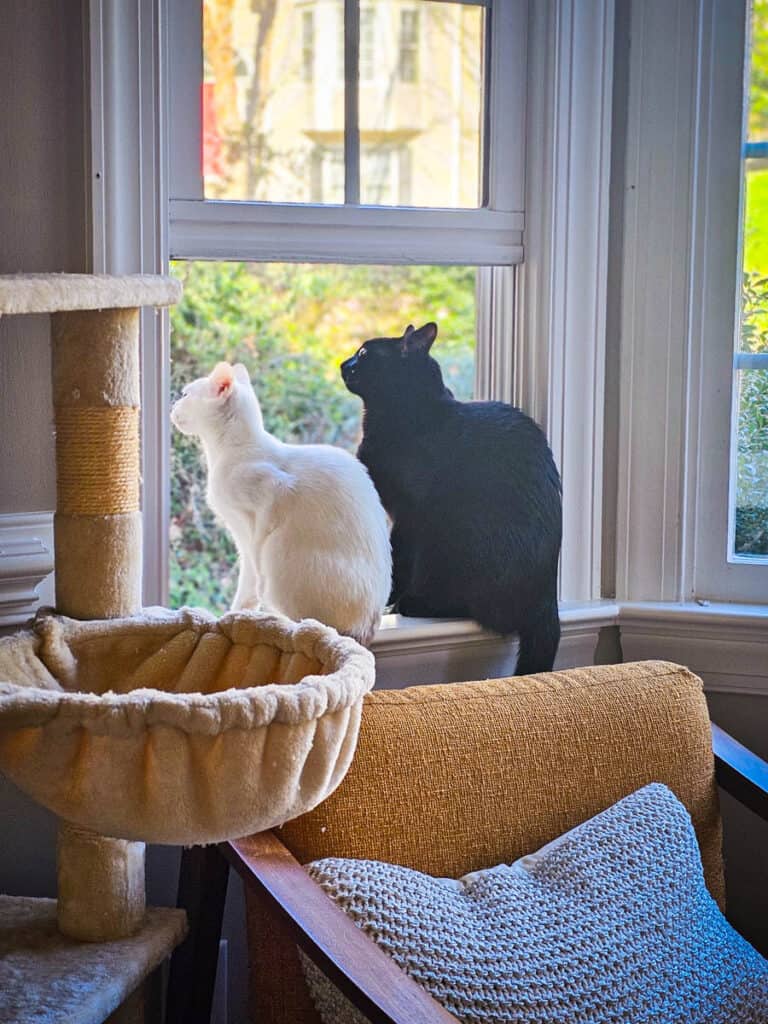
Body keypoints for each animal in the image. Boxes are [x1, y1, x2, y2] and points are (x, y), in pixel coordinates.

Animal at [172, 360, 393, 643]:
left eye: (185, 394)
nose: (173, 408)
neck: (225, 453)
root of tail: (366, 629)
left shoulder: (275, 490)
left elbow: (255, 572)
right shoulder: (241, 538)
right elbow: (246, 589)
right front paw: (232, 617)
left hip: (276, 551)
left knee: (310, 621)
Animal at [342, 319, 565, 671]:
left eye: (363, 353)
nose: (343, 363)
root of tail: (546, 599)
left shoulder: (409, 516)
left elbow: (399, 558)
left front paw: (389, 597)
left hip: (447, 538)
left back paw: (412, 604)